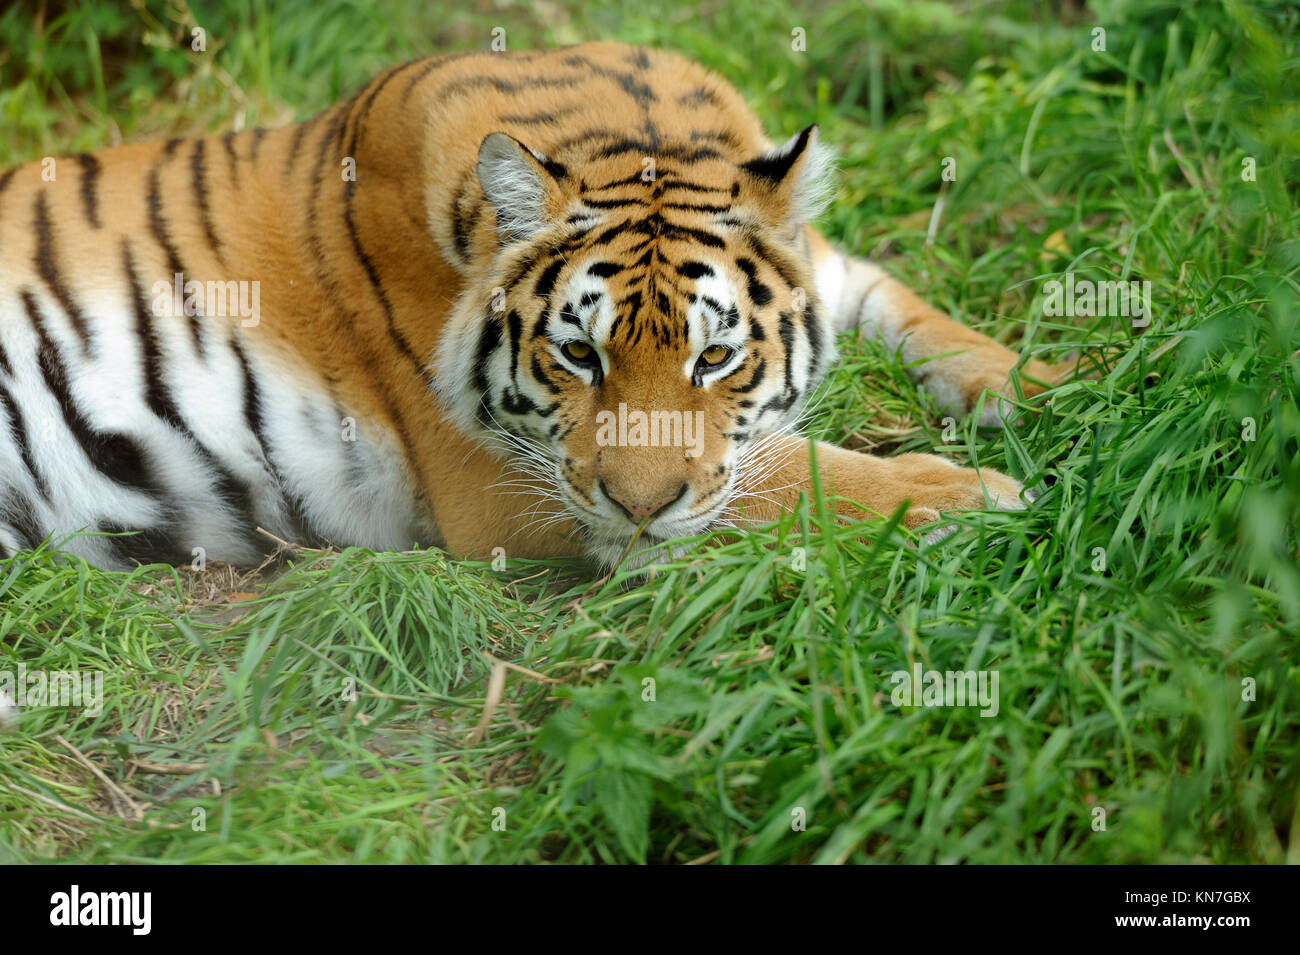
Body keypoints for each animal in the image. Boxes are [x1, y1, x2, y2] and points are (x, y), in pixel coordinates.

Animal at [0, 43, 1073, 573]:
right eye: (579, 357)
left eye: (714, 358)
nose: (638, 508)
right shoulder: (502, 485)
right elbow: (784, 475)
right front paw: (963, 495)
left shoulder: (819, 258)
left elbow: (906, 304)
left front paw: (1054, 385)